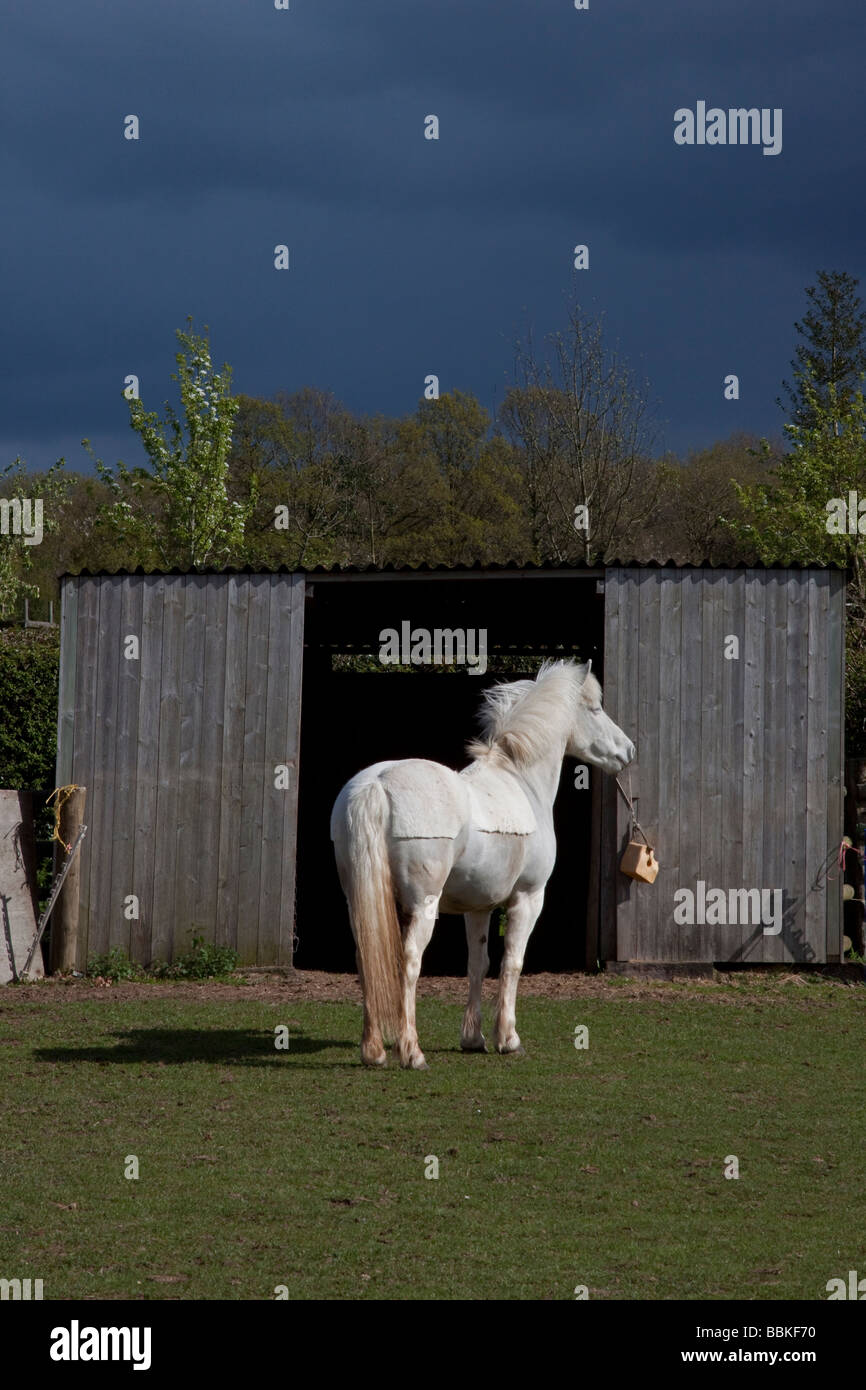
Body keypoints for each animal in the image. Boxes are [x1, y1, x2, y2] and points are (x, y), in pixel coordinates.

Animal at [330, 659, 635, 1069]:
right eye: (595, 709)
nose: (627, 750)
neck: (520, 779)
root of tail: (376, 784)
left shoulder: (478, 908)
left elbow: (478, 964)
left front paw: (473, 1039)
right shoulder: (527, 899)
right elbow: (512, 964)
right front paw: (508, 1039)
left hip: (360, 902)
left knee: (368, 958)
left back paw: (374, 1050)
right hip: (422, 907)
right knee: (409, 963)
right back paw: (412, 1052)